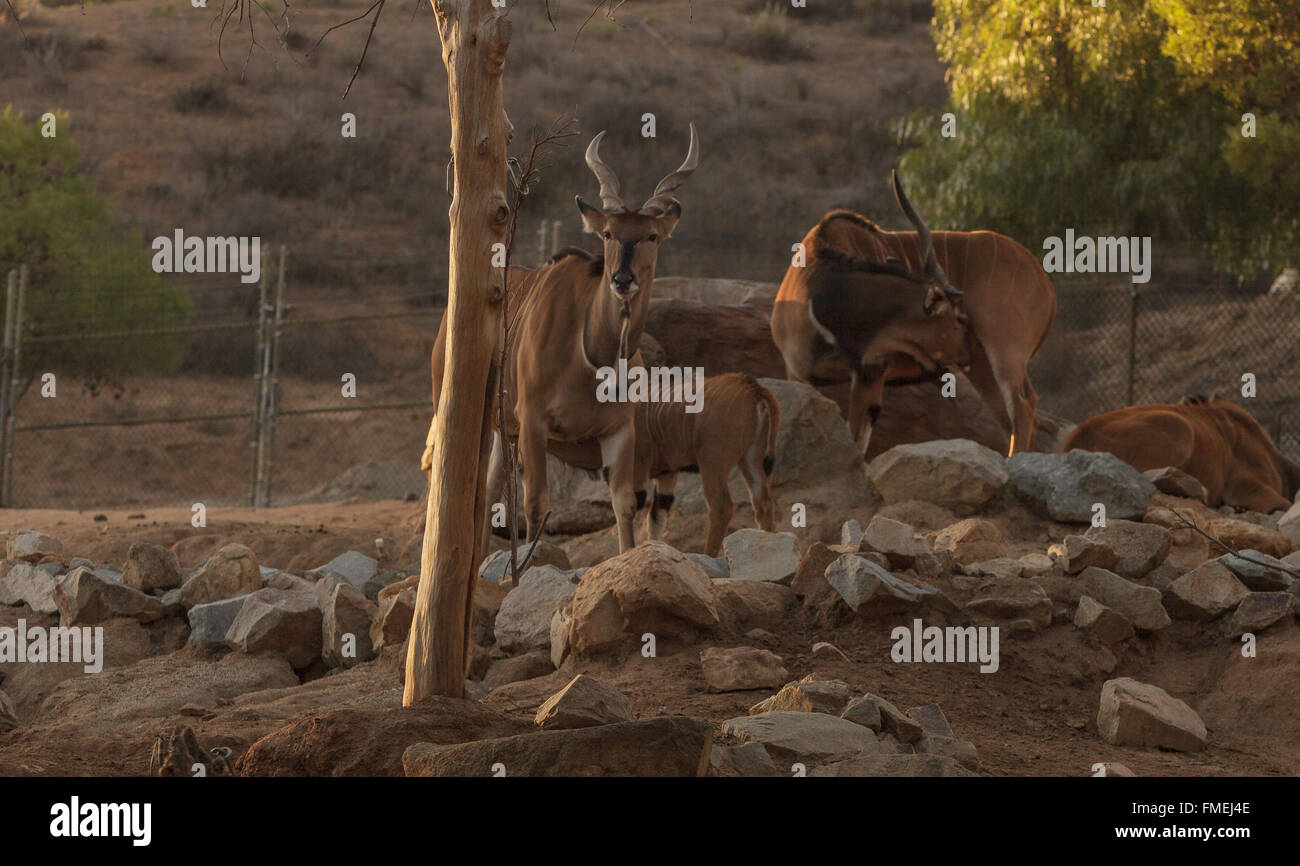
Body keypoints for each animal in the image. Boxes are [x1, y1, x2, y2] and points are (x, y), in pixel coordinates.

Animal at [421, 124, 696, 548]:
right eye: (607, 233)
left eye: (652, 236)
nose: (622, 279)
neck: (591, 358)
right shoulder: (535, 423)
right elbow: (536, 507)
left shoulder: (619, 431)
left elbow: (625, 506)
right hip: (460, 413)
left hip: (502, 433)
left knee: (486, 496)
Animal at [631, 371, 774, 553]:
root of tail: (752, 389)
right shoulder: (666, 474)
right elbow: (655, 518)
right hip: (750, 460)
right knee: (763, 503)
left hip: (712, 463)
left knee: (722, 507)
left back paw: (708, 554)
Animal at [769, 166, 1055, 452]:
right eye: (960, 318)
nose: (966, 355)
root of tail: (1045, 284)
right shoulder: (799, 374)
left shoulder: (870, 371)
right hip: (985, 370)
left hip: (1003, 353)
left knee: (1024, 405)